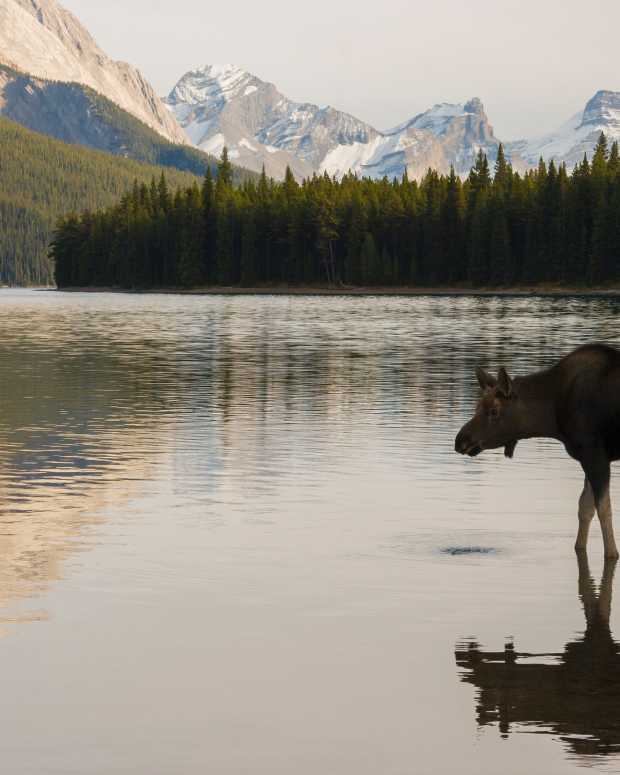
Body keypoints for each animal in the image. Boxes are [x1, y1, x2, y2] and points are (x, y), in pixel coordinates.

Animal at [455, 344, 620, 559]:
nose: (460, 441)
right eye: (476, 407)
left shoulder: (595, 455)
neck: (551, 418)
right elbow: (585, 508)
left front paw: (613, 553)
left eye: (494, 411)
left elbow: (604, 510)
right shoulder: (591, 458)